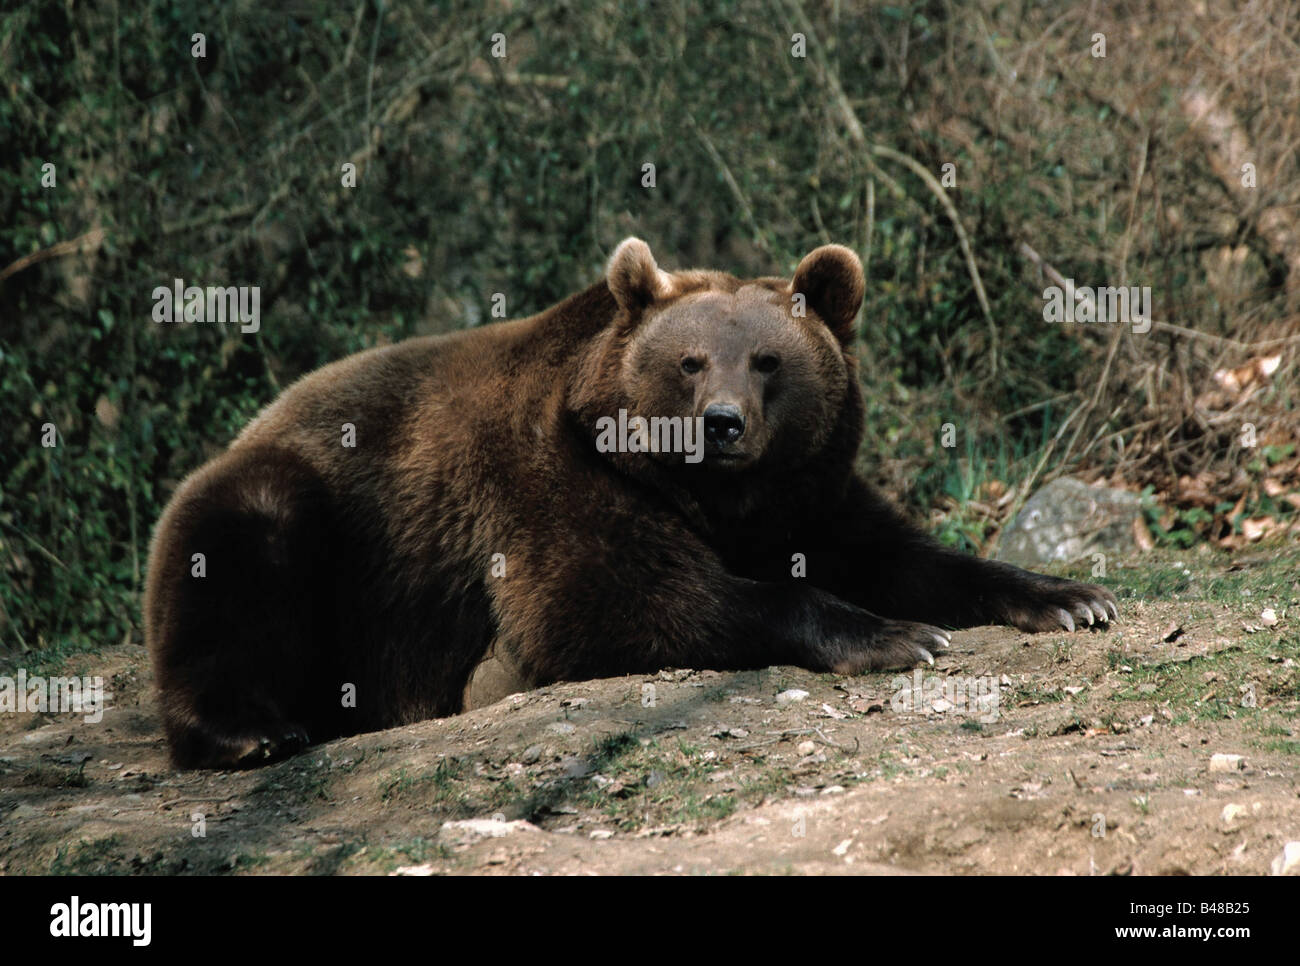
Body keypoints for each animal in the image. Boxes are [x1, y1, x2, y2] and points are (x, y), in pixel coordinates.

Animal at [144, 237, 1118, 769]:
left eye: (768, 360)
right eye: (690, 361)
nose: (722, 424)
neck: (716, 498)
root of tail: (257, 419)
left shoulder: (811, 495)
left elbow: (905, 555)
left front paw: (1071, 597)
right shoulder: (553, 476)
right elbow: (621, 597)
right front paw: (892, 635)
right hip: (307, 512)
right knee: (238, 564)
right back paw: (253, 732)